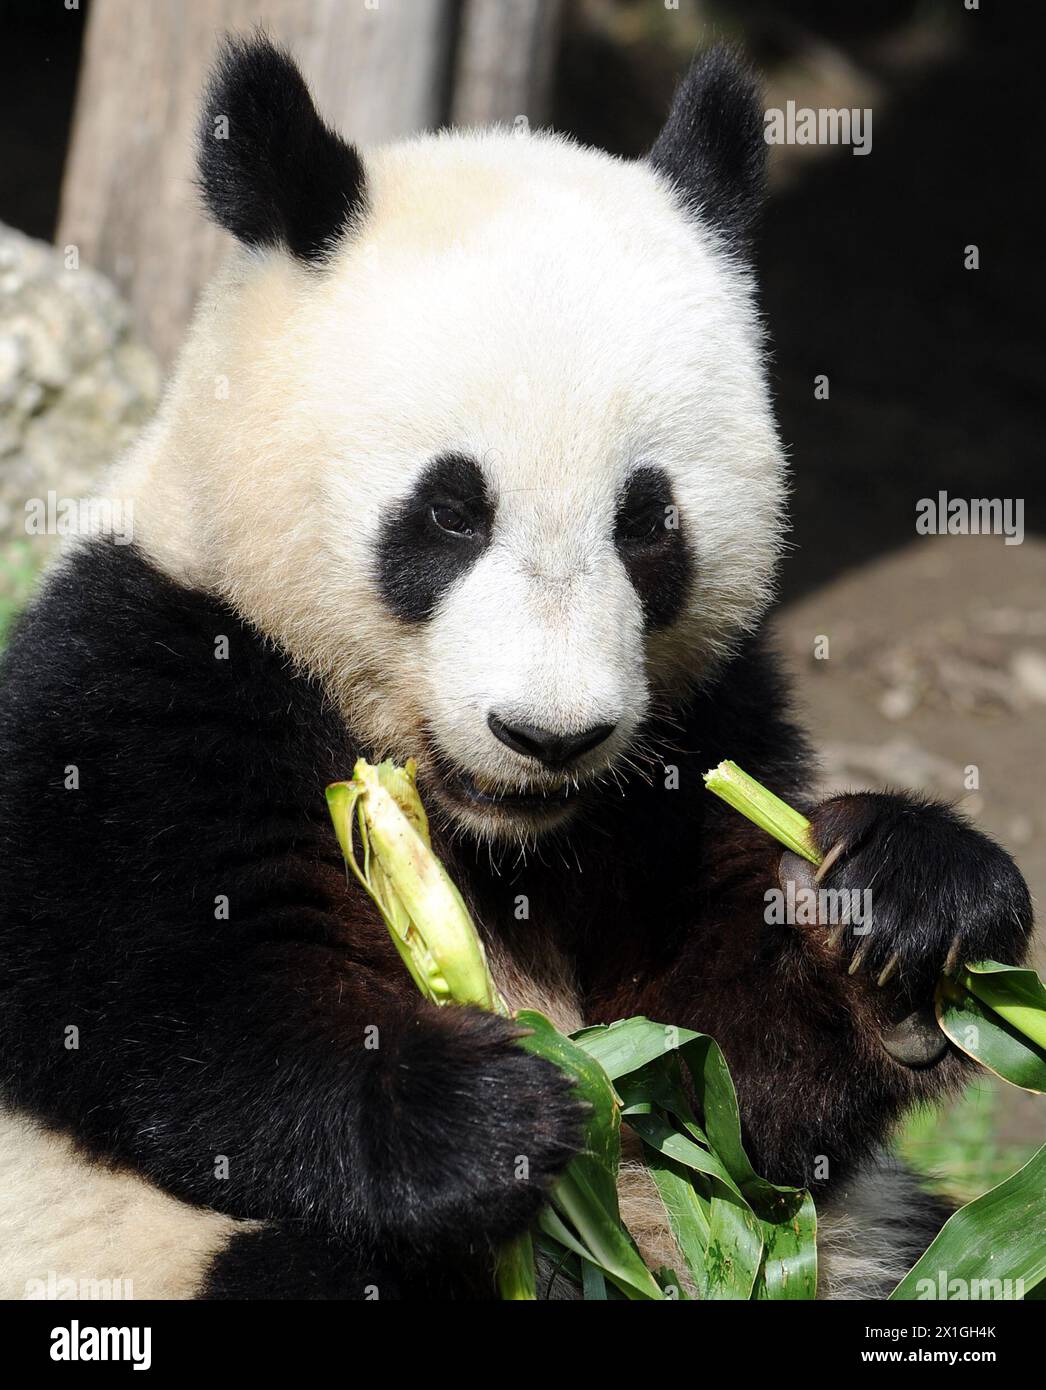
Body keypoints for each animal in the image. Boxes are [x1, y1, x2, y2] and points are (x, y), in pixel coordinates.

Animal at [0, 36, 1032, 1301]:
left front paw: (896, 908)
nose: (548, 734)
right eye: (450, 511)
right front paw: (484, 1115)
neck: (496, 838)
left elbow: (718, 1074)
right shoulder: (144, 678)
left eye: (647, 523)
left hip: (862, 1243)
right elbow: (172, 1007)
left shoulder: (696, 724)